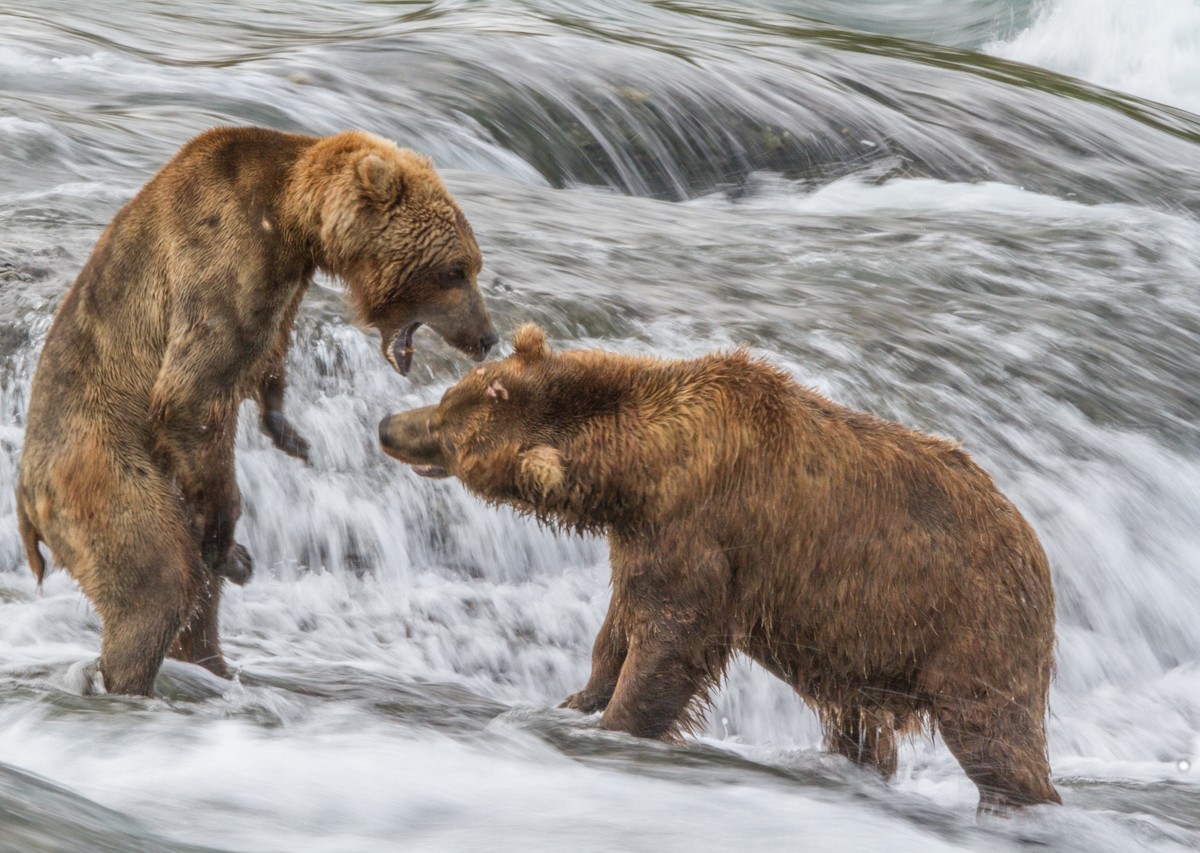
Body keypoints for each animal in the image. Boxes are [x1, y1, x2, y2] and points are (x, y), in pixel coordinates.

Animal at [16, 126, 498, 696]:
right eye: (455, 270)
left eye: (473, 265)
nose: (488, 338)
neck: (293, 221)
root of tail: (24, 495)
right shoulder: (224, 255)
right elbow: (191, 395)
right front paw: (235, 552)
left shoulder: (283, 289)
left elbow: (264, 363)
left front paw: (290, 433)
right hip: (103, 465)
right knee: (159, 578)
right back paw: (136, 675)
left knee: (192, 598)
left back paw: (214, 667)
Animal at [378, 324, 1062, 813]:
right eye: (453, 393)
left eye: (450, 430)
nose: (387, 424)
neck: (640, 468)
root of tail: (1037, 546)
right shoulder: (644, 538)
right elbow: (619, 624)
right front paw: (578, 698)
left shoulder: (703, 531)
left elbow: (671, 641)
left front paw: (614, 724)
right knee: (863, 729)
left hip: (968, 620)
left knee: (995, 733)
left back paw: (1019, 802)